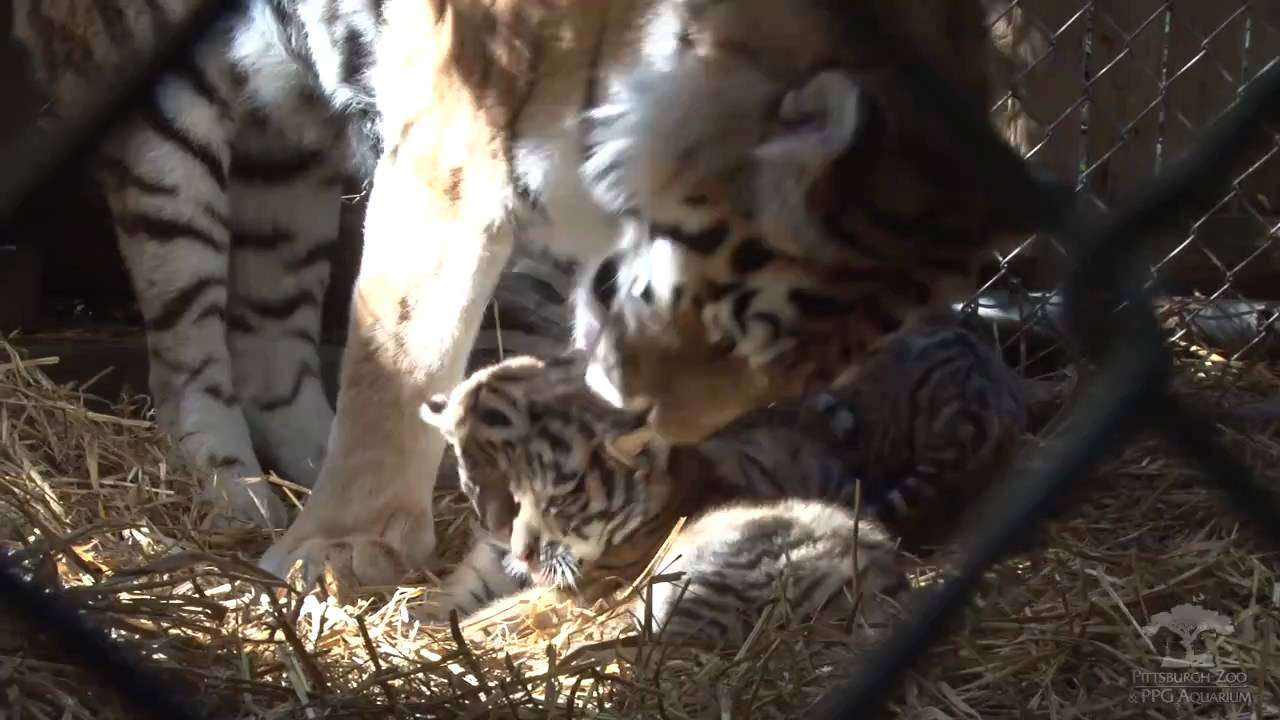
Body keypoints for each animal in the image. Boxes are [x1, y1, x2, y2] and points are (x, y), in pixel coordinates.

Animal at [13, 0, 1057, 589]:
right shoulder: (447, 152)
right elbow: (397, 355)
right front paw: (339, 555)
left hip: (286, 149)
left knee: (270, 341)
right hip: (161, 117)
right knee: (185, 351)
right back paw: (239, 501)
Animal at [416, 353, 907, 645]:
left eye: (564, 496)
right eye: (474, 472)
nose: (513, 542)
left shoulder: (577, 589)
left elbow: (498, 612)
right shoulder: (489, 558)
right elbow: (456, 589)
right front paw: (423, 614)